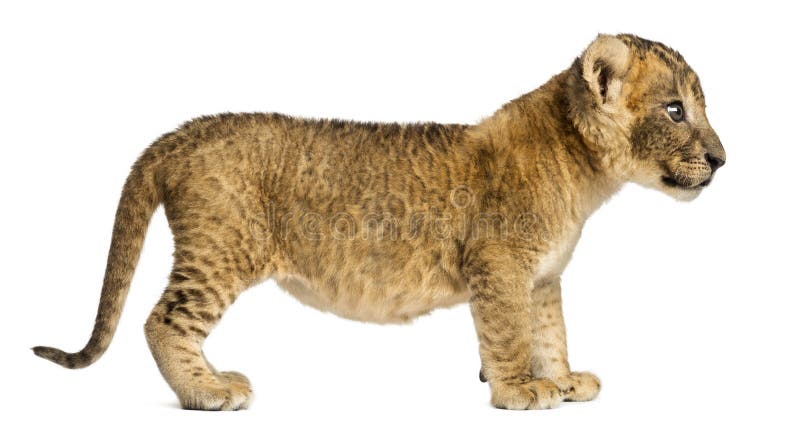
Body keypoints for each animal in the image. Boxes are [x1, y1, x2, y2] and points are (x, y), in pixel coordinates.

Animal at [33, 34, 725, 410]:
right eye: (675, 110)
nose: (722, 159)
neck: (586, 175)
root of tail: (183, 132)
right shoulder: (498, 265)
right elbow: (507, 332)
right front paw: (517, 389)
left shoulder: (543, 277)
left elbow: (548, 331)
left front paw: (561, 379)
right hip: (222, 248)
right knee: (164, 320)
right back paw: (208, 391)